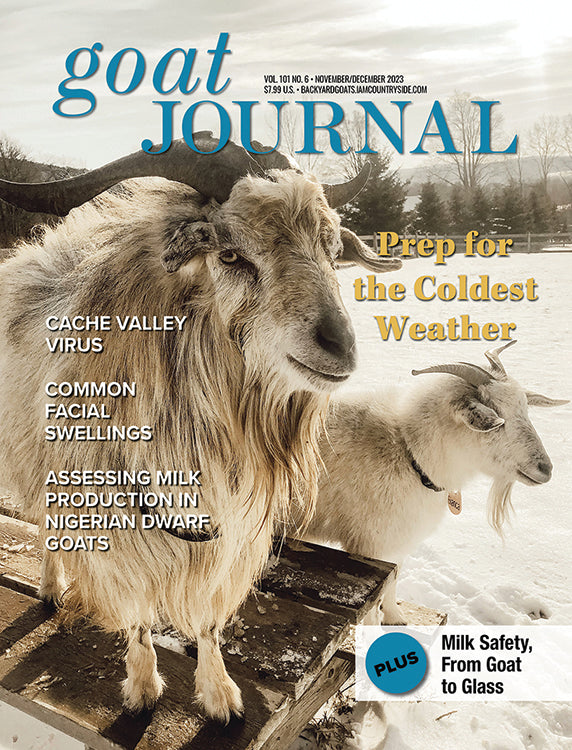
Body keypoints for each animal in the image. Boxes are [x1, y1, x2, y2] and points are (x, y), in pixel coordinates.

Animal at [0, 134, 401, 720]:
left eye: (331, 252)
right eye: (230, 254)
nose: (339, 345)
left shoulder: (225, 531)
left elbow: (210, 618)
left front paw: (220, 695)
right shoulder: (118, 523)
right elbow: (138, 611)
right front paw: (143, 686)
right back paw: (52, 585)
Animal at [299, 342, 566, 625]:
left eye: (524, 410)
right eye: (498, 417)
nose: (546, 469)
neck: (408, 451)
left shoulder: (398, 542)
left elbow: (394, 578)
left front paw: (396, 617)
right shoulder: (370, 547)